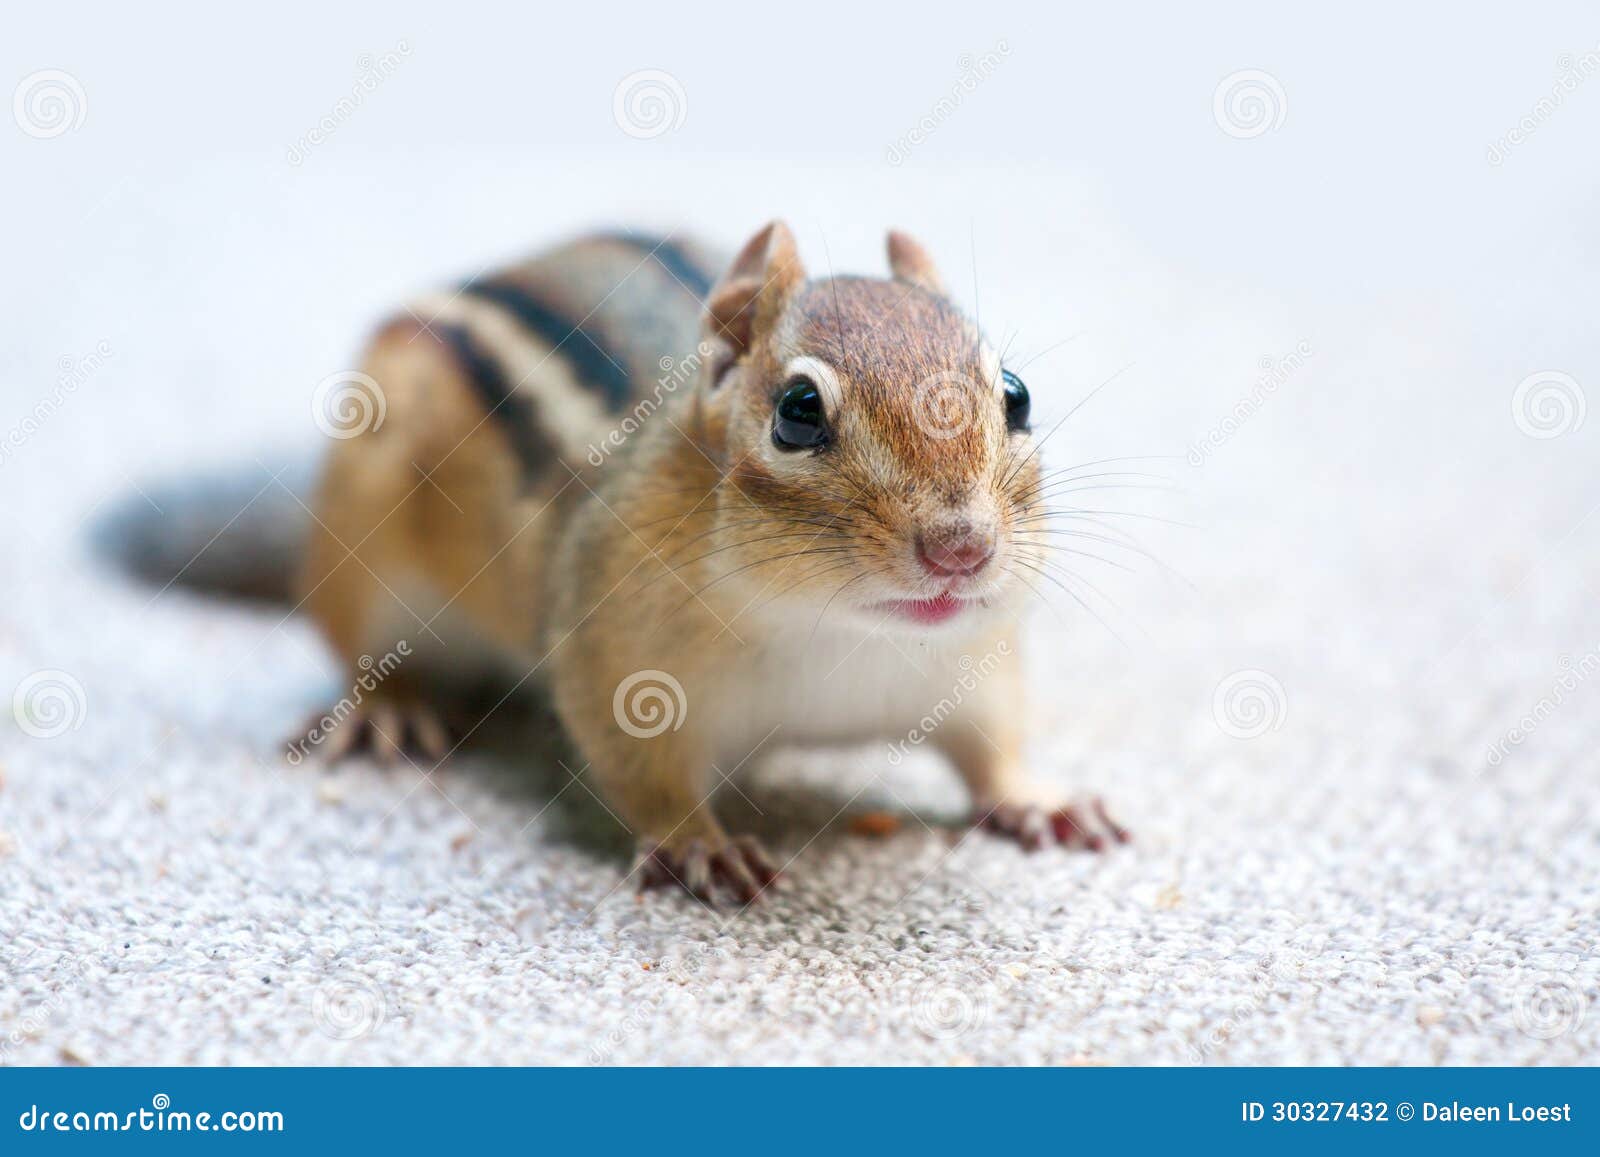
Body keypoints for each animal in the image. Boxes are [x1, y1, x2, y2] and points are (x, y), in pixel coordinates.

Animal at [135, 222, 1130, 904]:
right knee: (361, 650)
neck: (835, 631)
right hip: (361, 544)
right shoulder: (617, 667)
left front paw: (1038, 797)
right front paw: (700, 842)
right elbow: (639, 771)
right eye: (798, 412)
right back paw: (391, 708)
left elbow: (994, 742)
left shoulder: (979, 663)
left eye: (1016, 395)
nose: (962, 547)